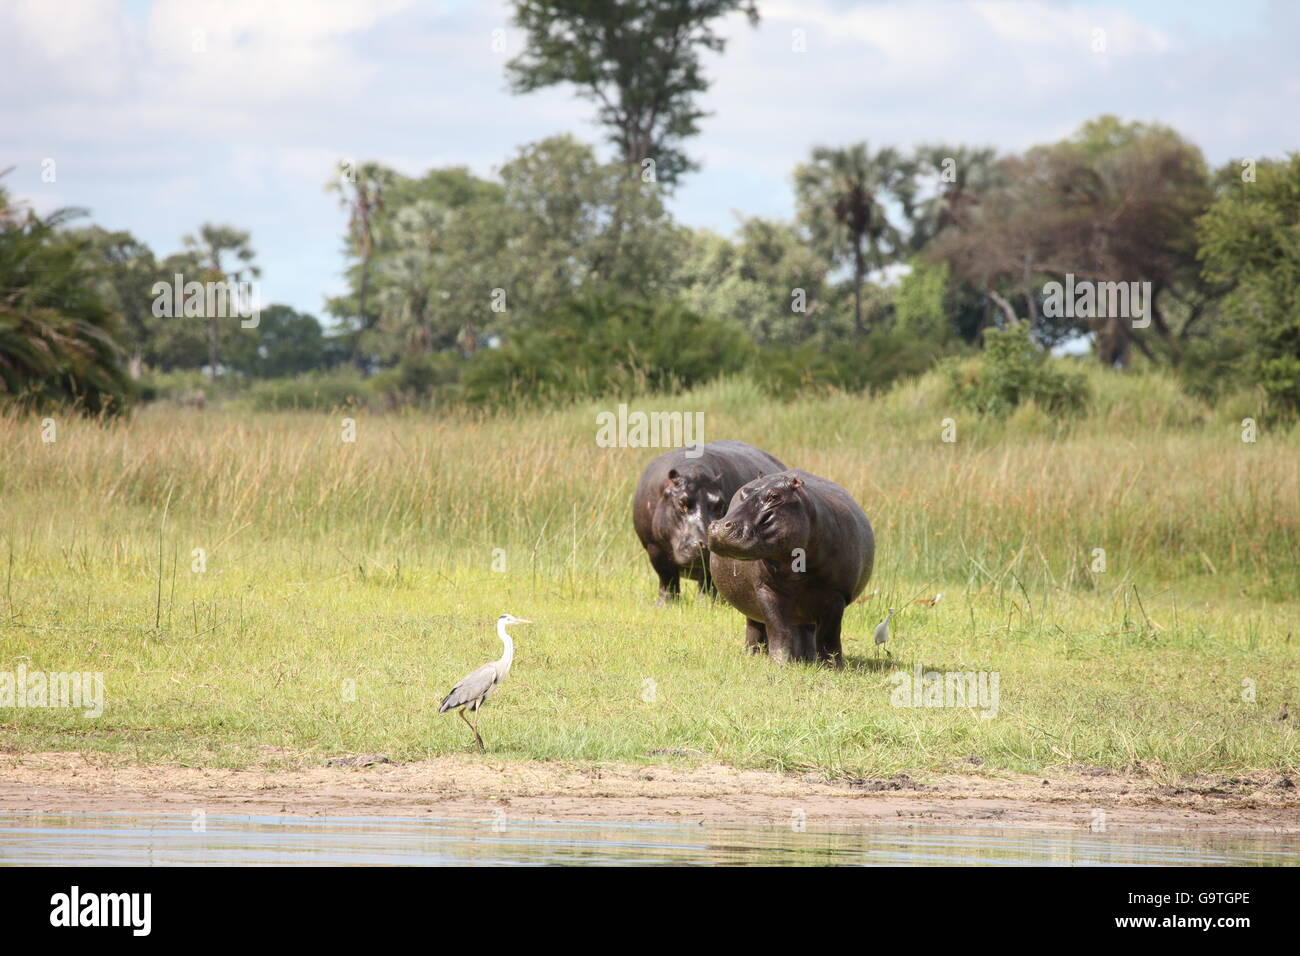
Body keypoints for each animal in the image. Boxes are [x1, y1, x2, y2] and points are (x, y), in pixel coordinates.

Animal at [633, 440, 787, 605]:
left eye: (720, 504)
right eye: (682, 502)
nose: (705, 544)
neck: (693, 470)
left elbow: (708, 581)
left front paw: (706, 605)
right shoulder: (654, 546)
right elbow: (667, 578)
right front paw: (665, 605)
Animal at [708, 469, 874, 667]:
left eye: (774, 496)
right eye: (743, 492)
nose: (718, 527)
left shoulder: (836, 594)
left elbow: (829, 634)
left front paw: (833, 667)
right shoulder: (767, 590)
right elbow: (778, 628)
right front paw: (781, 665)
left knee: (807, 631)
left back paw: (808, 658)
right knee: (755, 626)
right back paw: (754, 655)